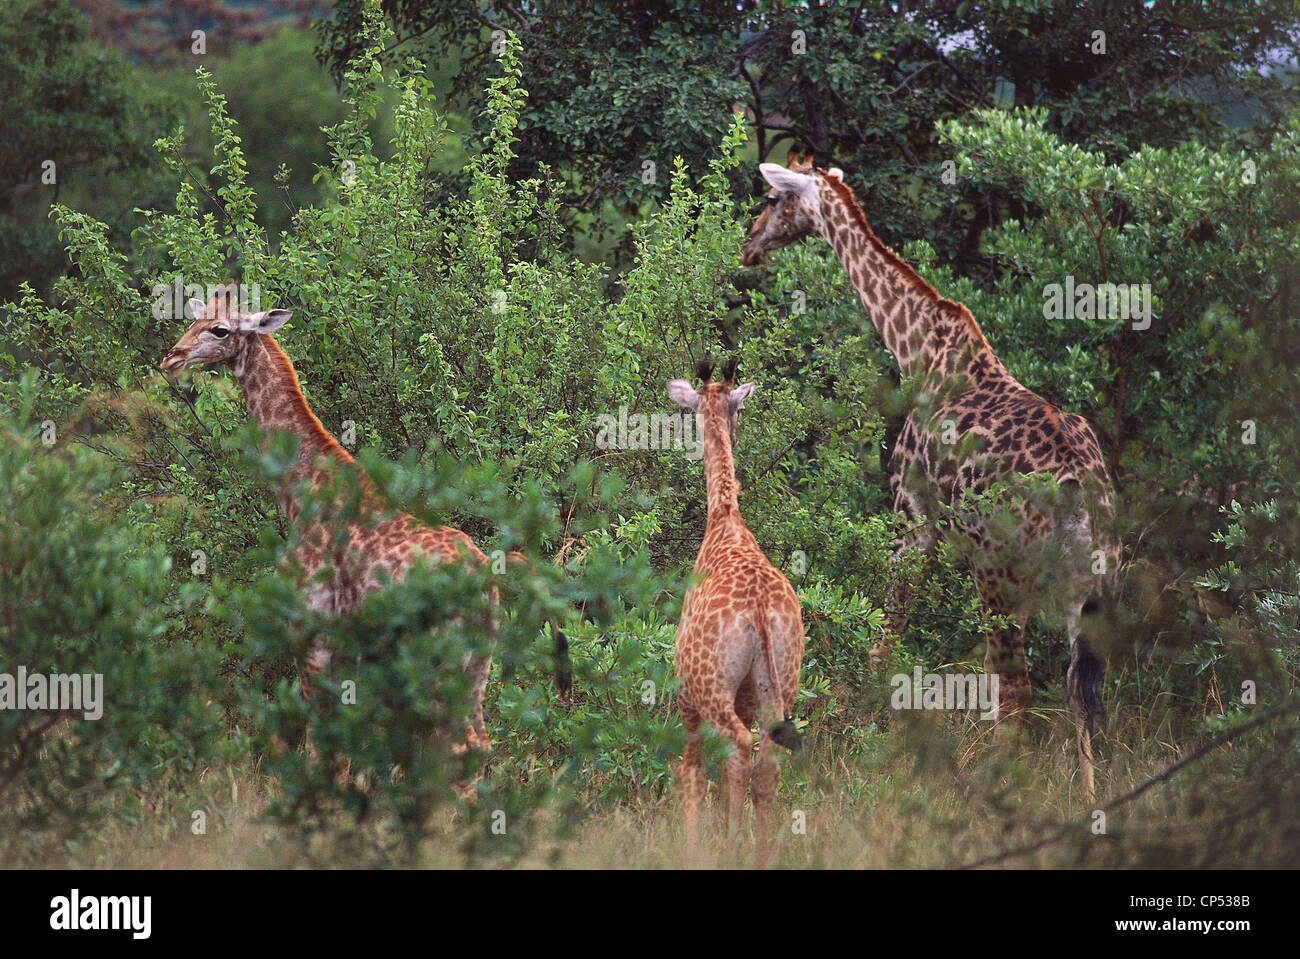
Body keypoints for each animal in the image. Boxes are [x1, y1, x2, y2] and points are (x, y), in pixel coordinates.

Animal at [159, 294, 501, 757]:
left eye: (220, 330)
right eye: (193, 319)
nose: (171, 358)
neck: (301, 495)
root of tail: (484, 587)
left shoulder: (312, 631)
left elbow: (319, 739)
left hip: (435, 658)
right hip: (476, 664)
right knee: (480, 743)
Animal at [668, 359, 805, 866]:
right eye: (740, 409)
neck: (723, 516)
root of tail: (761, 610)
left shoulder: (685, 695)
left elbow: (690, 773)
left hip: (710, 688)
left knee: (735, 752)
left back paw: (728, 849)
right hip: (780, 682)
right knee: (767, 760)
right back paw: (758, 854)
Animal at [741, 155, 1119, 797]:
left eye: (771, 199)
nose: (749, 247)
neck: (912, 345)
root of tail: (1077, 491)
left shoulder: (913, 514)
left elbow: (882, 637)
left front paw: (856, 741)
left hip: (999, 572)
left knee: (1016, 686)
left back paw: (1002, 788)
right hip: (1091, 577)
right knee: (1078, 684)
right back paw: (1092, 796)